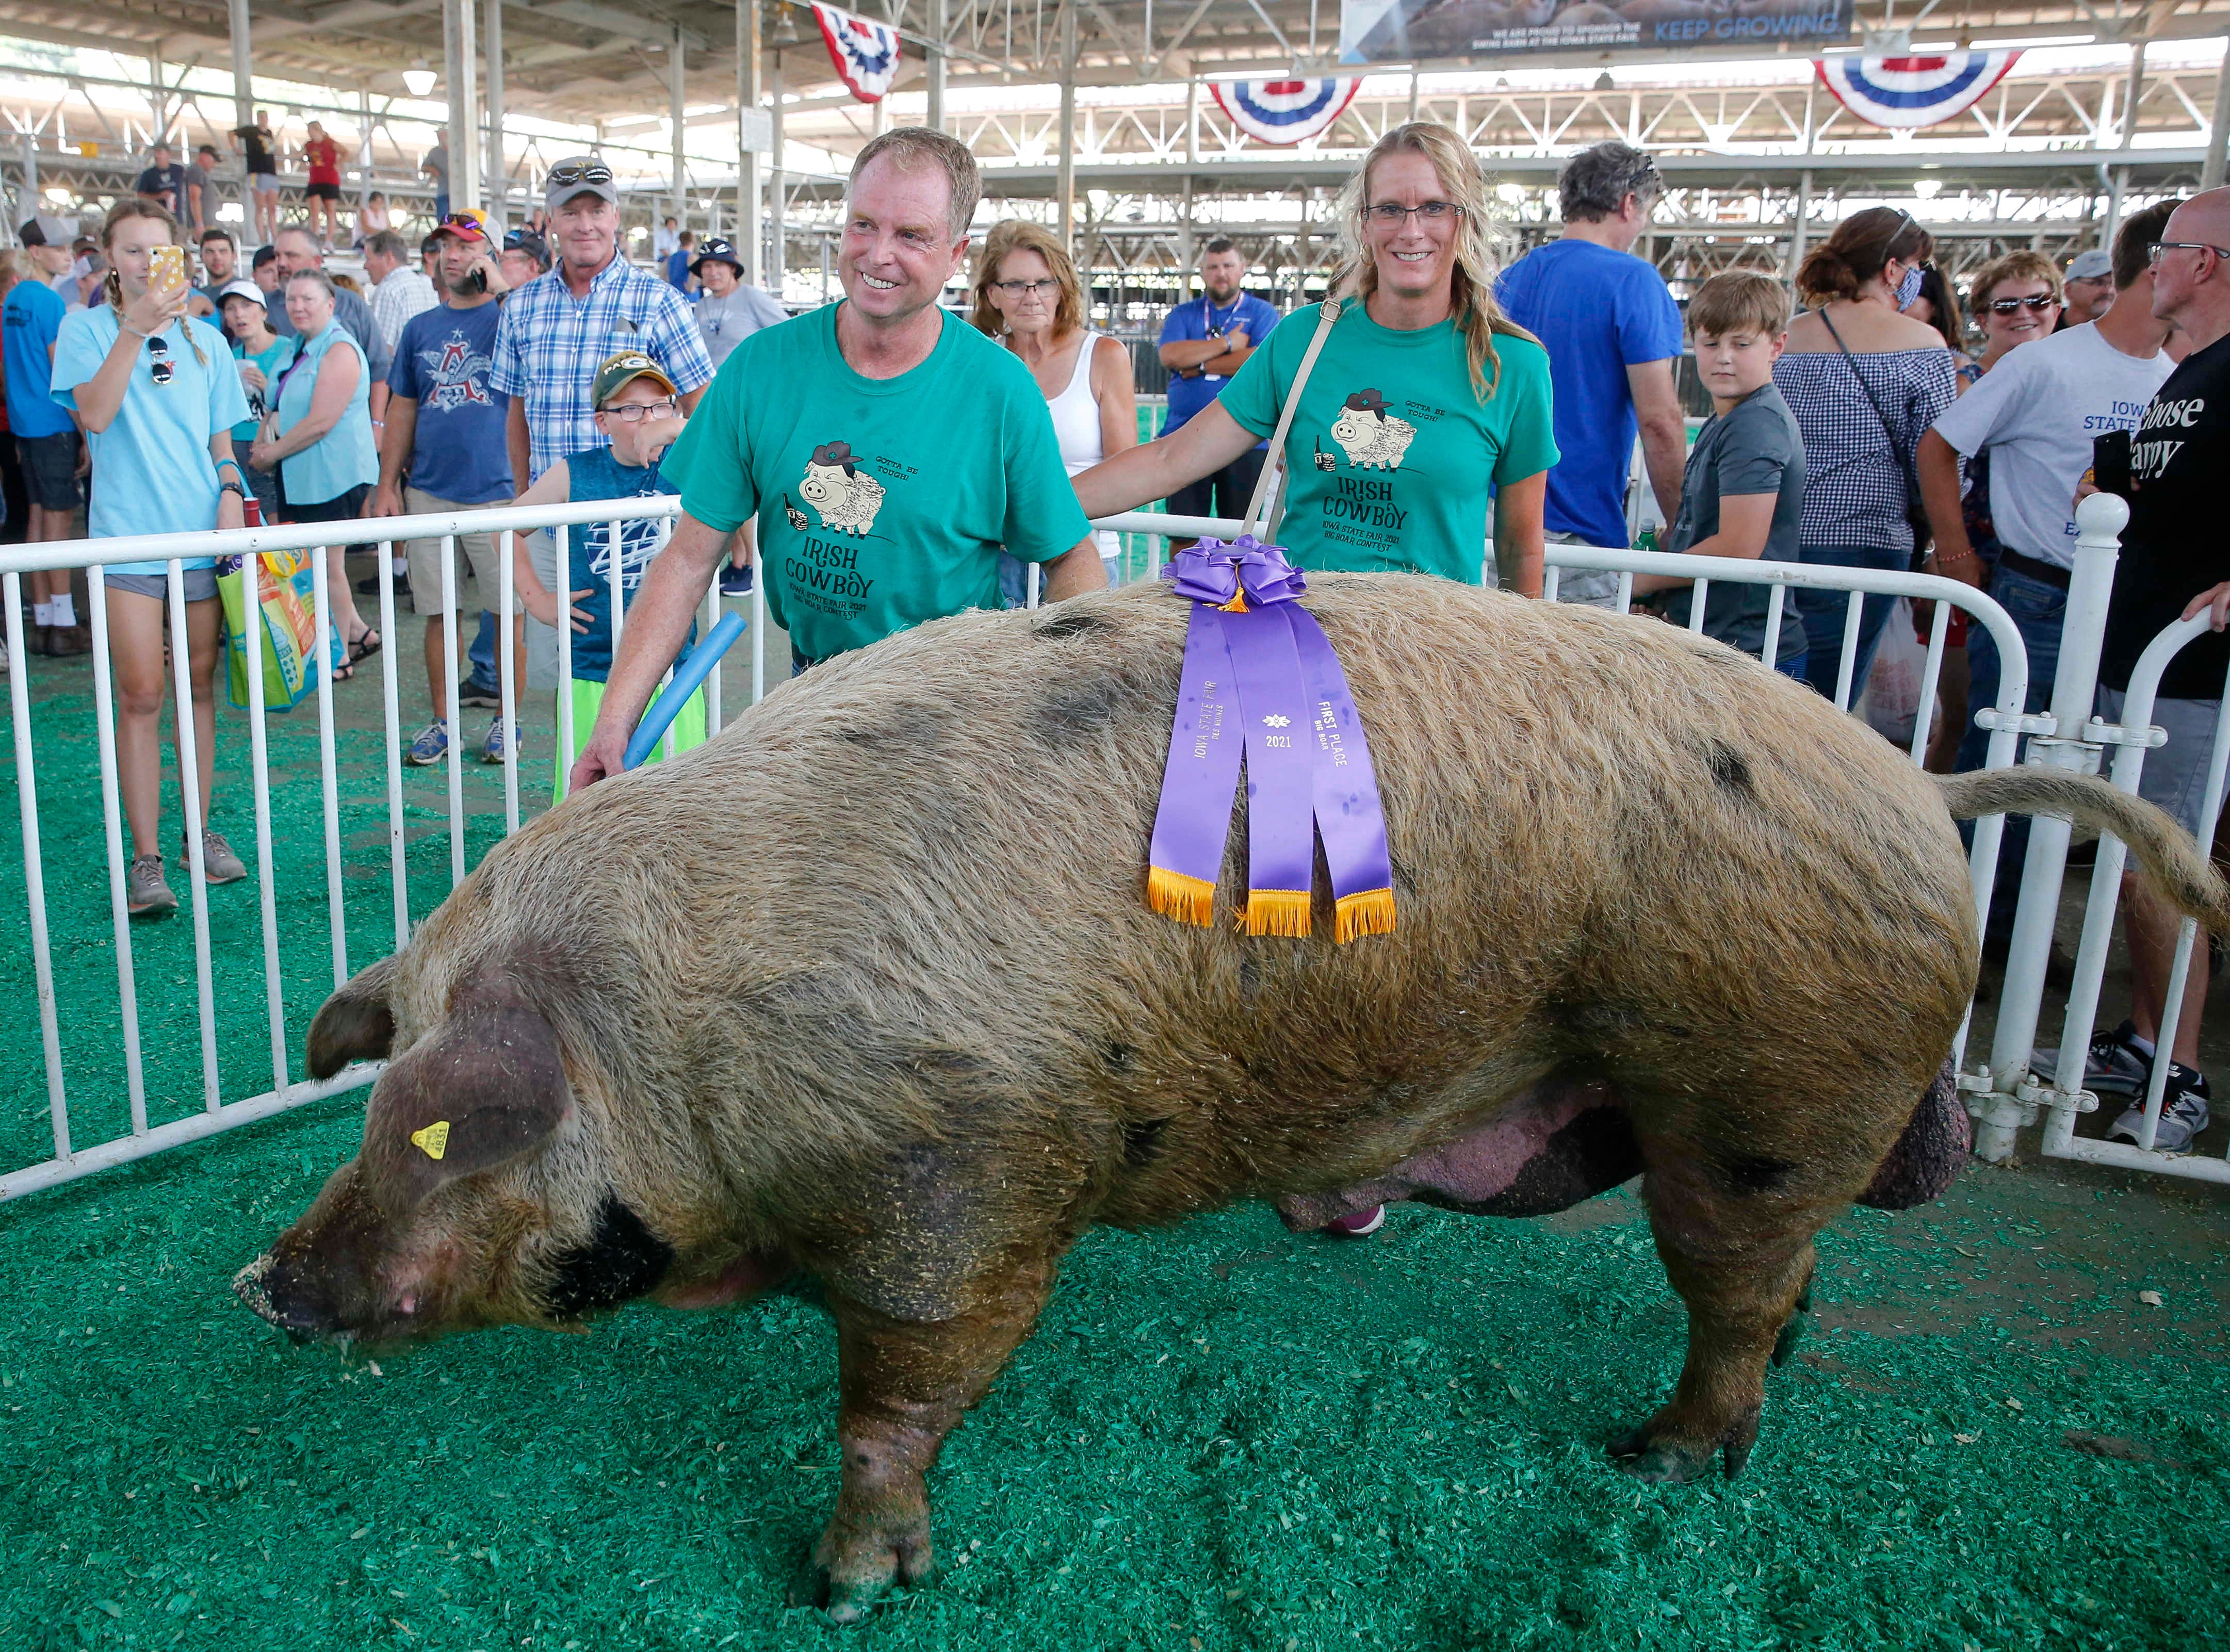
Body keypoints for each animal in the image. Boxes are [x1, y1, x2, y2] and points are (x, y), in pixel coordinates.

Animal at [236, 574, 2230, 1622]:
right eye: (366, 1110)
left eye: (432, 1131)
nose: (262, 1279)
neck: (682, 1040)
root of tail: (1928, 789)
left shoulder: (965, 1189)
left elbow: (899, 1397)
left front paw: (848, 1583)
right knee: (1789, 1288)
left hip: (1754, 1086)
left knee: (1741, 1285)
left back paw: (1659, 1459)